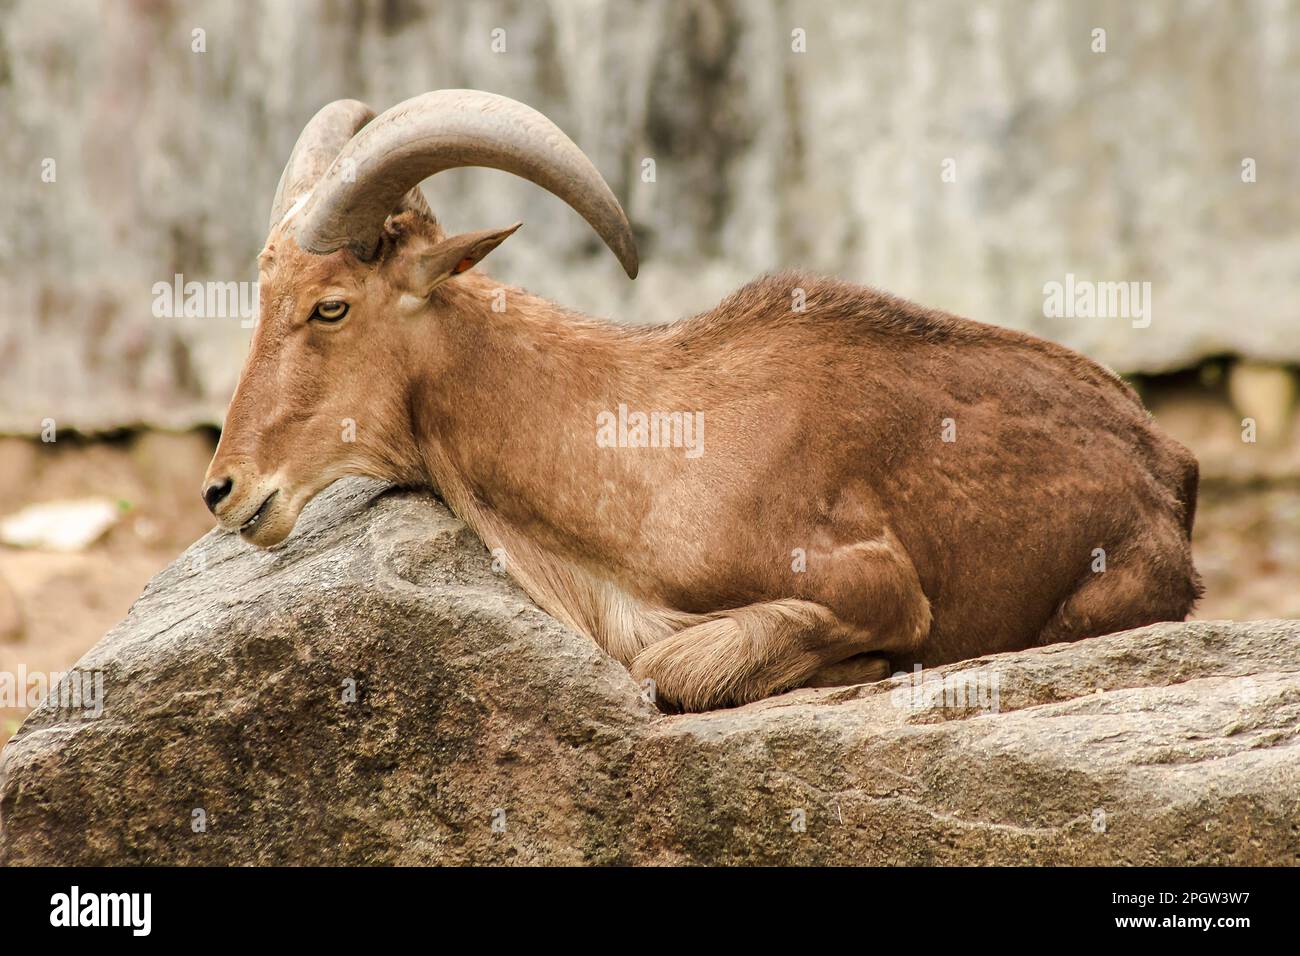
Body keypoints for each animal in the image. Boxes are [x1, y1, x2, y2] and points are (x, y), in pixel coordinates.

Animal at [203, 90, 1202, 711]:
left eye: (330, 306)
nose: (224, 490)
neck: (621, 443)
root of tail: (1174, 463)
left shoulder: (869, 579)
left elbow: (673, 665)